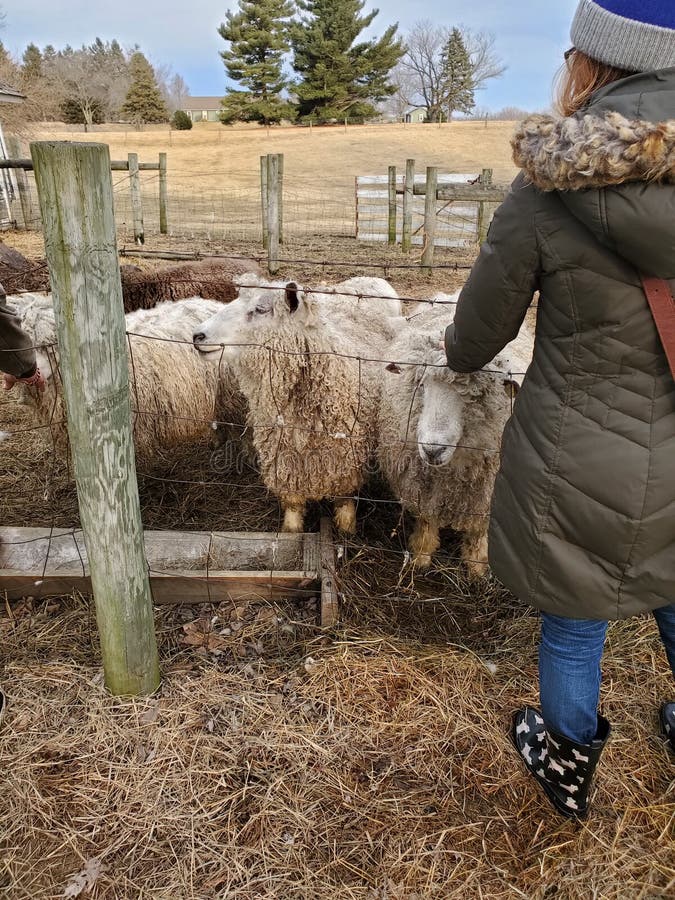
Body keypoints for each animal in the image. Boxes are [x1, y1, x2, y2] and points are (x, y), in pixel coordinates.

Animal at [193, 273, 404, 534]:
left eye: (261, 309)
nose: (197, 336)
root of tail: (368, 277)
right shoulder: (285, 457)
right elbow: (293, 504)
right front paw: (290, 530)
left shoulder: (347, 455)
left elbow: (345, 497)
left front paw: (347, 528)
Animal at [376, 294, 533, 577]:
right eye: (421, 384)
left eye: (475, 394)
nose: (432, 450)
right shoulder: (422, 484)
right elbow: (426, 518)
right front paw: (421, 554)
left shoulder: (487, 491)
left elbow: (479, 528)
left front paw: (477, 563)